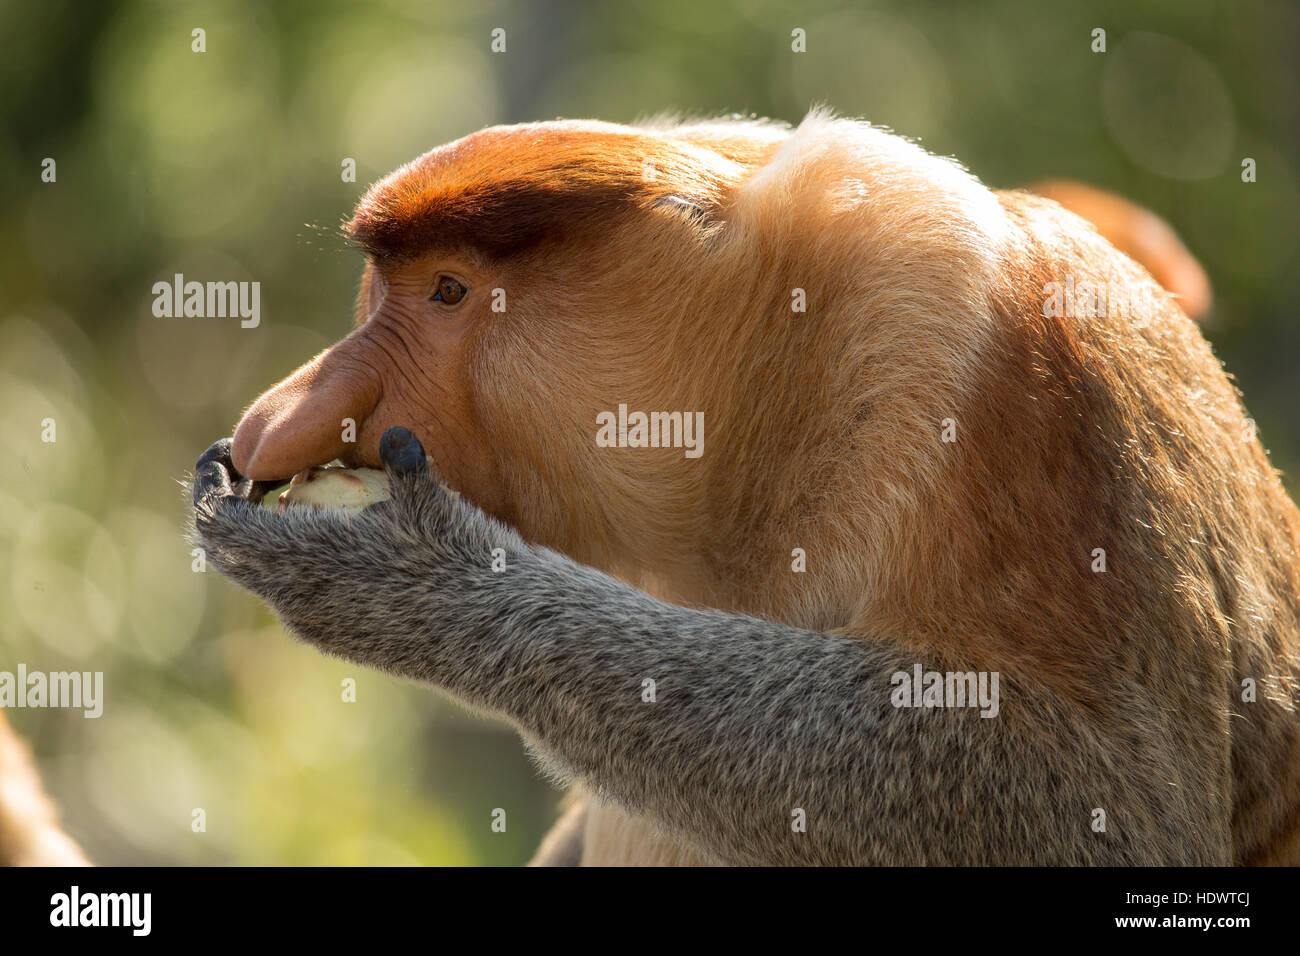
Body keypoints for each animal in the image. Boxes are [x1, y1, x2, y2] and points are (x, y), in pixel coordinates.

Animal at [191, 113, 1300, 866]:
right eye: (384, 287)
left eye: (449, 292)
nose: (272, 421)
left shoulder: (1022, 377)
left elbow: (1098, 798)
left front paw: (413, 584)